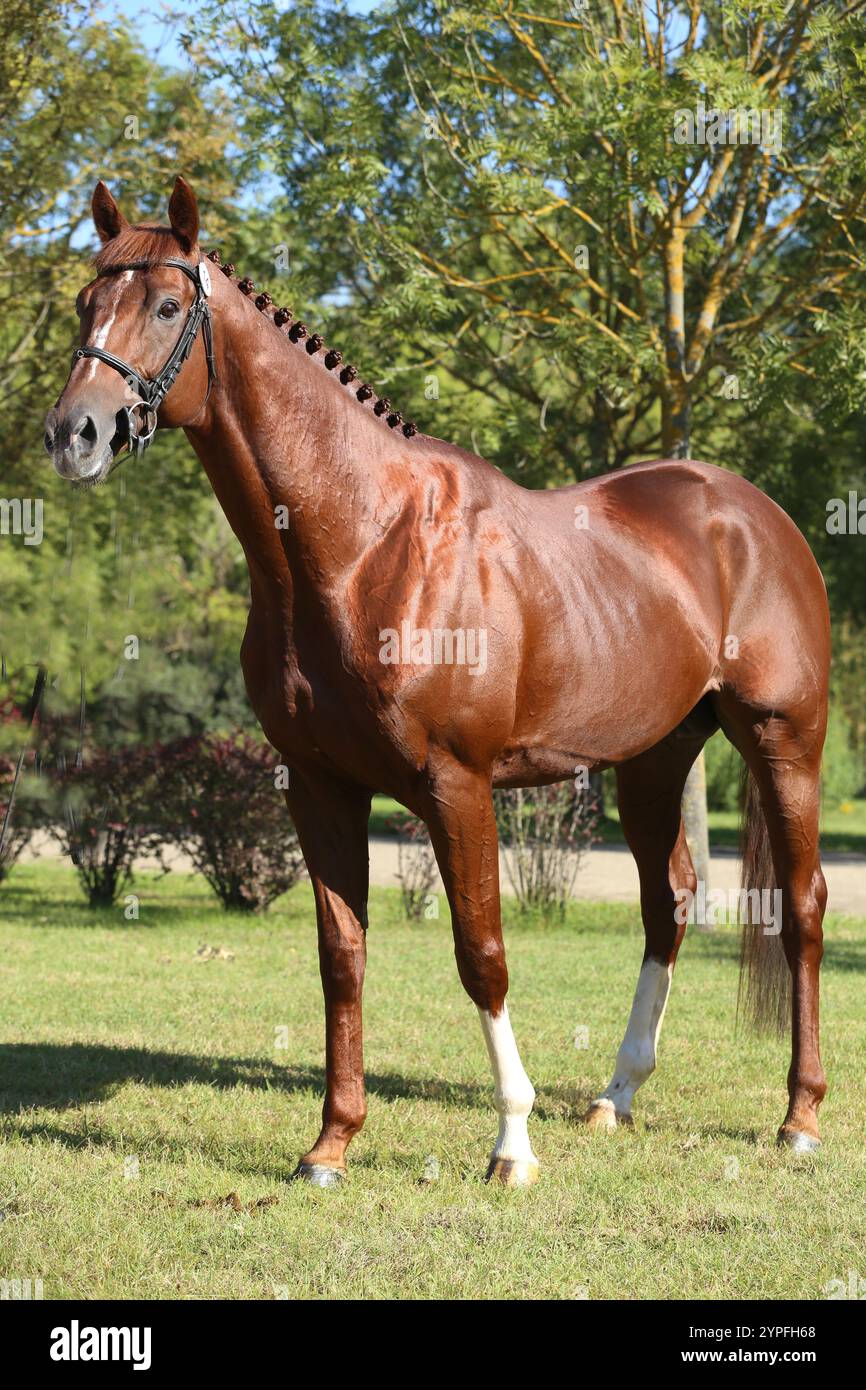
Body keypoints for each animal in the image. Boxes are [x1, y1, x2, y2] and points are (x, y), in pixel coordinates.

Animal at [44, 178, 830, 1186]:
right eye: (85, 301)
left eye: (169, 307)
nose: (74, 434)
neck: (364, 546)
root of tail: (754, 514)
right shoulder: (319, 788)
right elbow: (342, 955)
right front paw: (330, 1144)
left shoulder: (458, 787)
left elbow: (482, 954)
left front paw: (512, 1145)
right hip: (654, 759)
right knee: (670, 902)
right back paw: (616, 1095)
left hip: (782, 741)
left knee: (802, 907)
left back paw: (799, 1116)